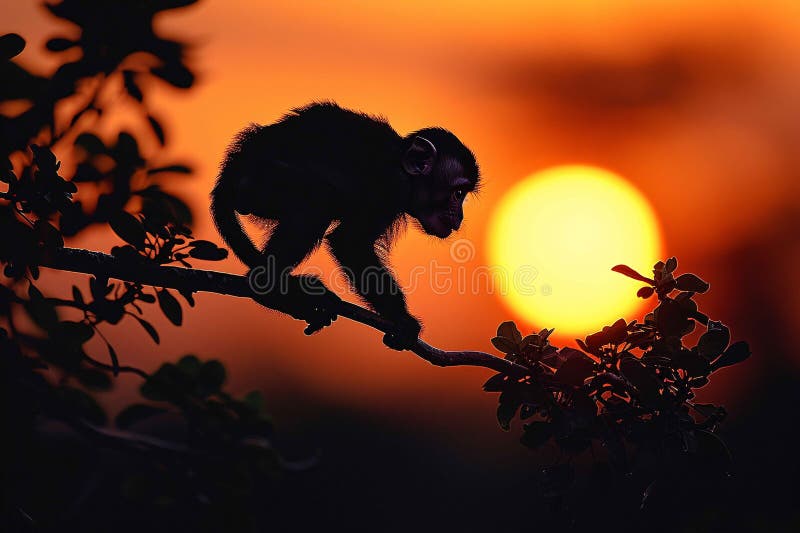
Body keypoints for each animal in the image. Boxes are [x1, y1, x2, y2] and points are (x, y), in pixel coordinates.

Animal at [210, 102, 480, 350]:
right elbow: (349, 243)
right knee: (318, 201)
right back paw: (268, 287)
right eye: (457, 193)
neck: (402, 168)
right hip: (262, 182)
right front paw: (403, 320)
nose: (459, 216)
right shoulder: (389, 188)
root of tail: (238, 161)